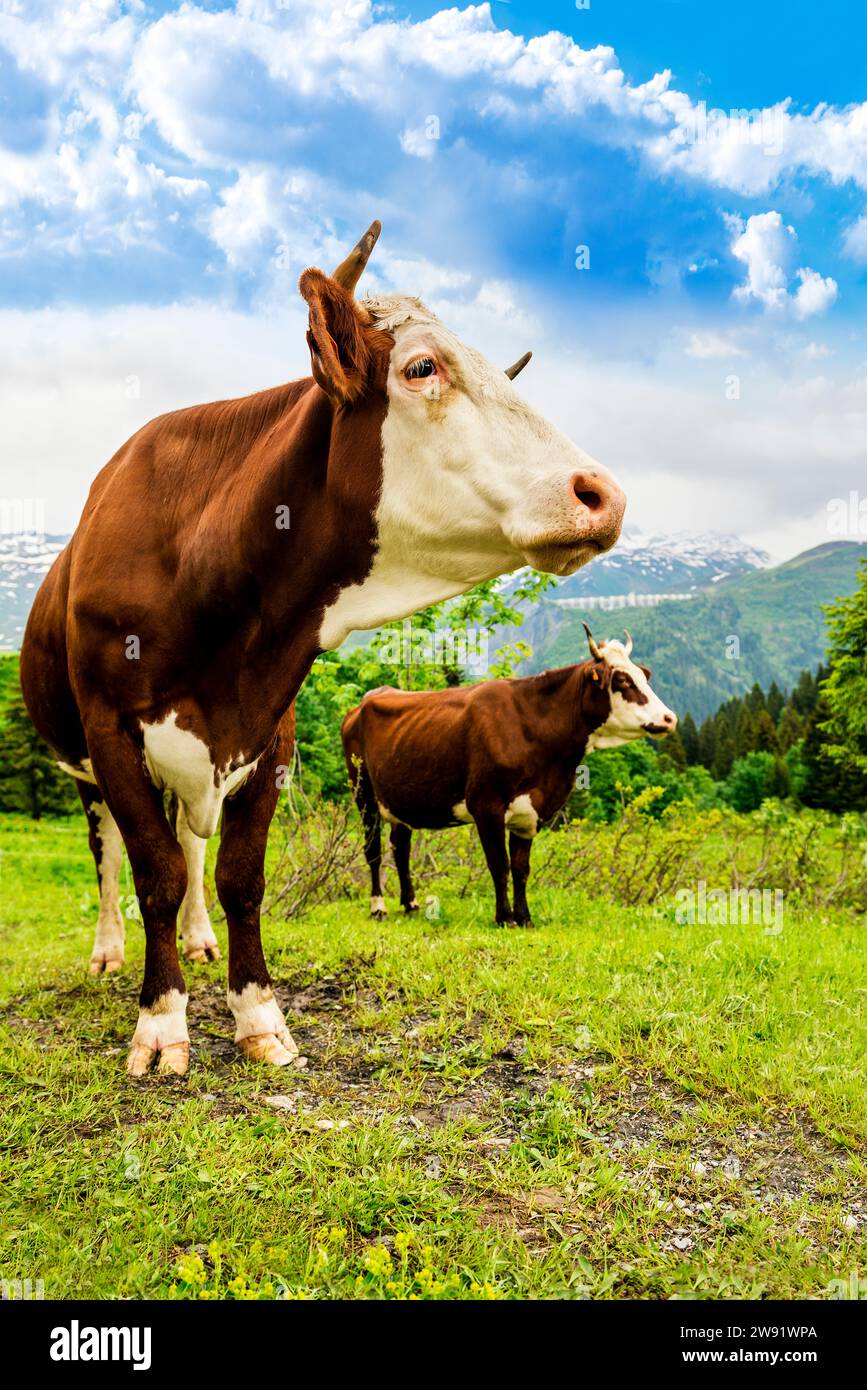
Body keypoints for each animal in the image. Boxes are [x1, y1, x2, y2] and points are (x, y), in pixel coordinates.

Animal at [19, 220, 626, 1076]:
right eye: (421, 367)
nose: (601, 494)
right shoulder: (111, 730)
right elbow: (151, 874)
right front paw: (161, 1021)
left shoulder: (268, 731)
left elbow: (236, 875)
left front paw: (257, 1014)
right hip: (82, 766)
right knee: (108, 851)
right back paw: (109, 952)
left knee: (191, 843)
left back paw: (199, 941)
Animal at [342, 625, 676, 927]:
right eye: (622, 680)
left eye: (643, 676)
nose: (669, 718)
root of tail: (367, 700)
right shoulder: (486, 805)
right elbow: (499, 864)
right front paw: (504, 917)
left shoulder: (531, 811)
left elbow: (520, 868)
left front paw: (524, 917)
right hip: (364, 794)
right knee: (373, 850)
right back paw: (378, 907)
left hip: (399, 800)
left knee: (401, 846)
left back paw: (410, 903)